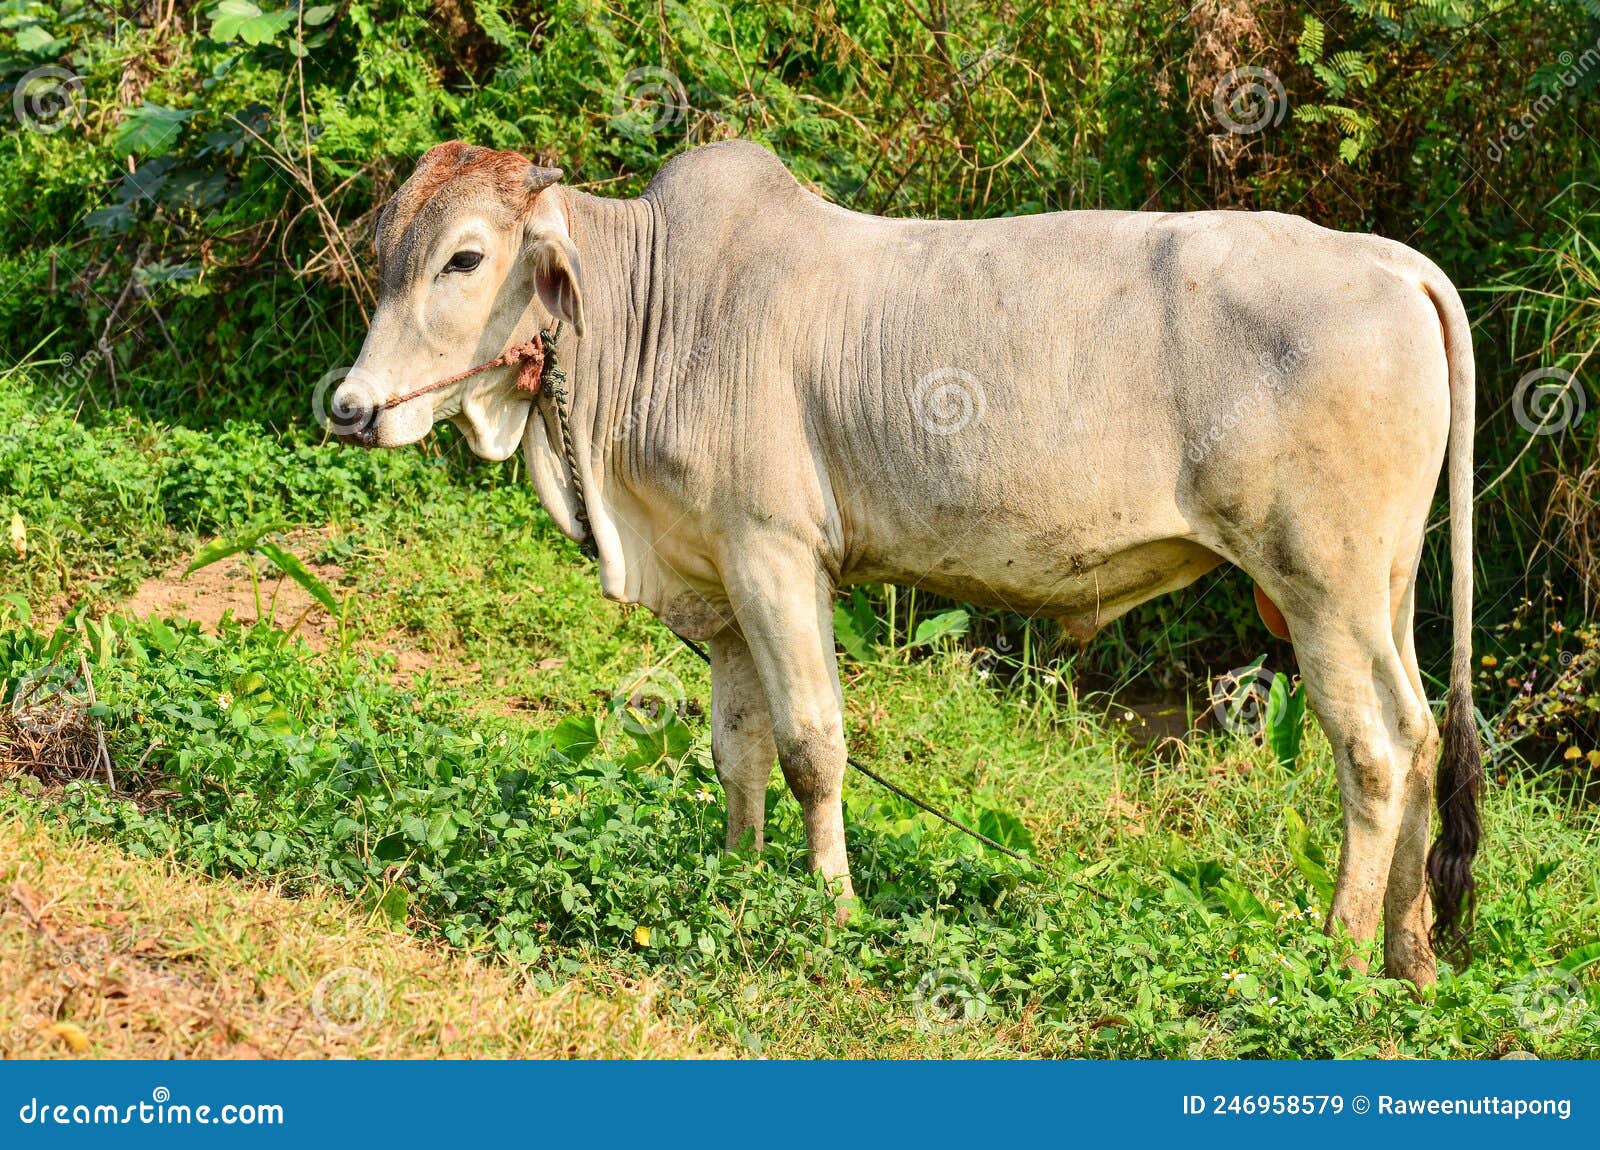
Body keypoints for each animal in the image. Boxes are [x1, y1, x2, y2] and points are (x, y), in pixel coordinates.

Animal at [332, 139, 1481, 986]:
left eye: (465, 259)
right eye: (388, 245)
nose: (349, 408)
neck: (654, 315)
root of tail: (1393, 262)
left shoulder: (775, 554)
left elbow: (810, 746)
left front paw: (832, 907)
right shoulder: (719, 579)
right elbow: (737, 751)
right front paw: (740, 876)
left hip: (1321, 589)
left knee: (1374, 754)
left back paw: (1339, 954)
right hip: (1383, 591)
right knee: (1424, 733)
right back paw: (1410, 958)